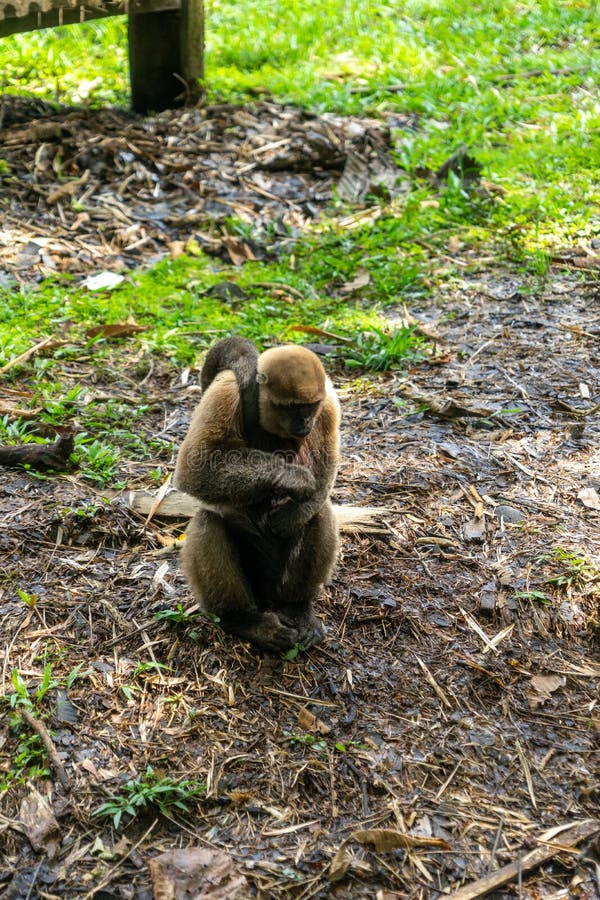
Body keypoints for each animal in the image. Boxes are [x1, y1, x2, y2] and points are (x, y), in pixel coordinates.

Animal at [174, 337, 341, 653]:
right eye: (291, 408)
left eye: (310, 406)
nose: (305, 423)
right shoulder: (227, 389)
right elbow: (195, 470)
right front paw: (290, 477)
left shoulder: (329, 403)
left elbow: (326, 468)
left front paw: (293, 513)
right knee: (208, 520)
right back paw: (243, 620)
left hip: (278, 582)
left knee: (319, 512)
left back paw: (296, 607)